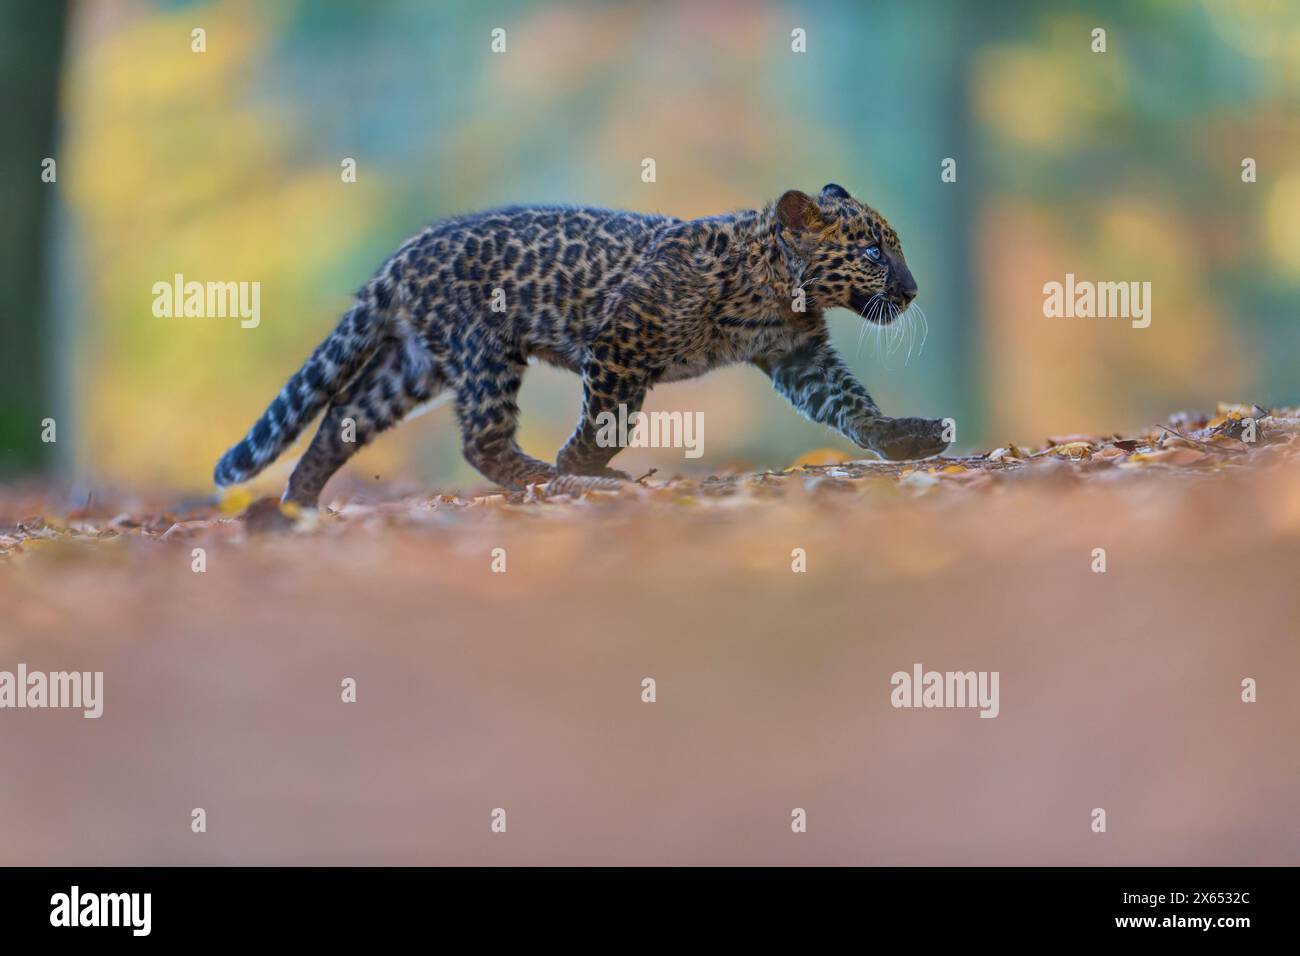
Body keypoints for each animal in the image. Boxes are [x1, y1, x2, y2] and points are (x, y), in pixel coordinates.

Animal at [214, 183, 950, 507]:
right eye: (871, 251)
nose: (915, 289)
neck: (777, 286)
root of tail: (403, 255)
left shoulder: (800, 357)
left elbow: (852, 407)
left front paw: (906, 438)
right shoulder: (623, 341)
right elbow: (608, 422)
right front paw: (584, 465)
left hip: (414, 366)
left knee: (343, 416)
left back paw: (300, 504)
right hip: (485, 349)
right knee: (480, 441)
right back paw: (555, 477)